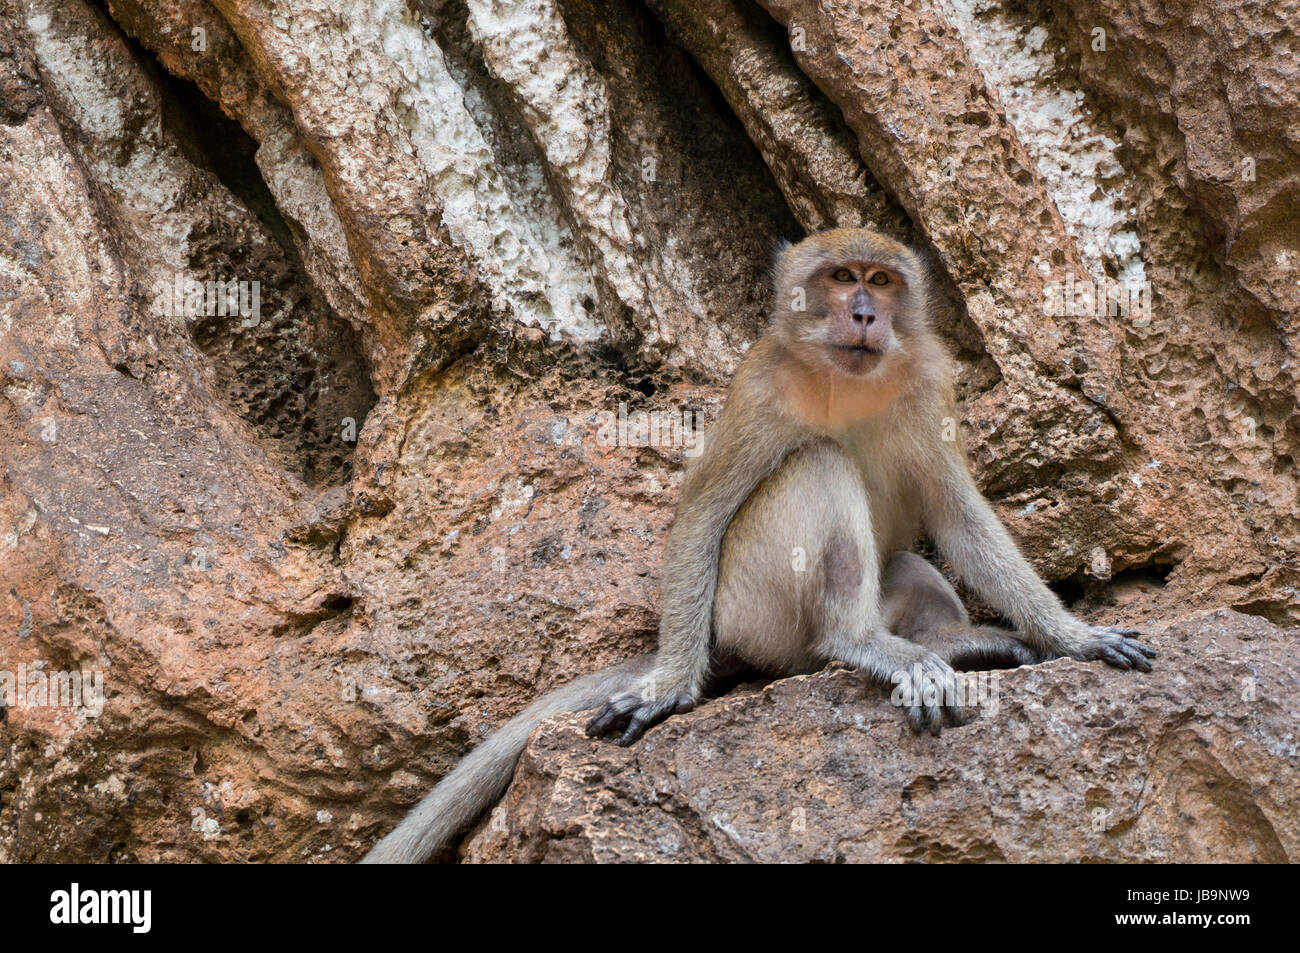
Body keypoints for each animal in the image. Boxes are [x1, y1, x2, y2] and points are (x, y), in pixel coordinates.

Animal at [360, 227, 1152, 863]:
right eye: (842, 276)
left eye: (882, 281)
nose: (865, 314)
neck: (843, 375)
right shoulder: (760, 384)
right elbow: (703, 513)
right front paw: (670, 687)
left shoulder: (931, 381)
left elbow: (957, 516)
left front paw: (1072, 636)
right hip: (753, 610)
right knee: (818, 467)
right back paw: (861, 643)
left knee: (905, 562)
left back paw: (953, 644)